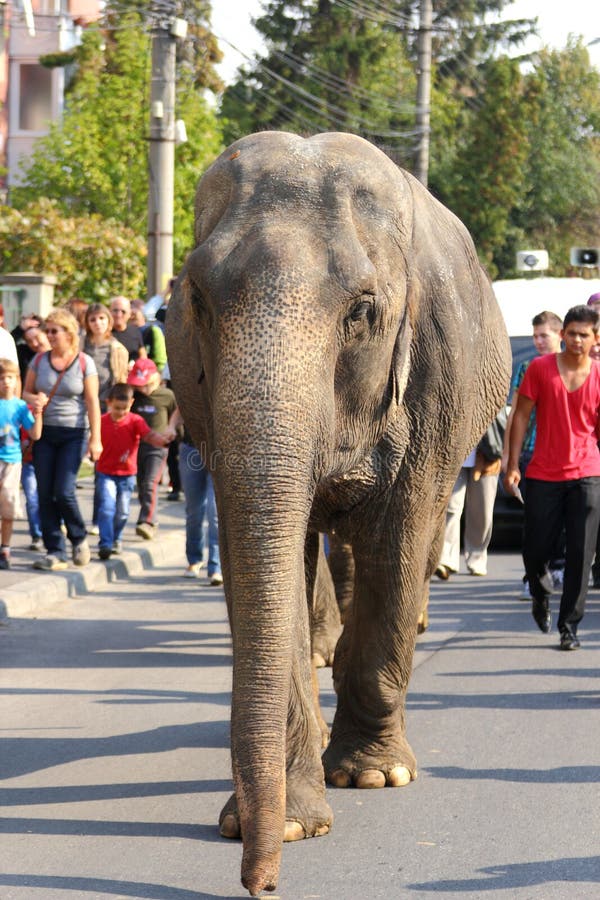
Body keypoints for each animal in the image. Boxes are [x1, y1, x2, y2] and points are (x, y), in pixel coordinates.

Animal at [165, 130, 511, 897]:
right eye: (197, 300)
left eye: (363, 311)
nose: (260, 883)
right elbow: (264, 554)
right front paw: (294, 821)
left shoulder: (436, 384)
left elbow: (400, 539)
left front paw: (372, 777)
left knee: (404, 545)